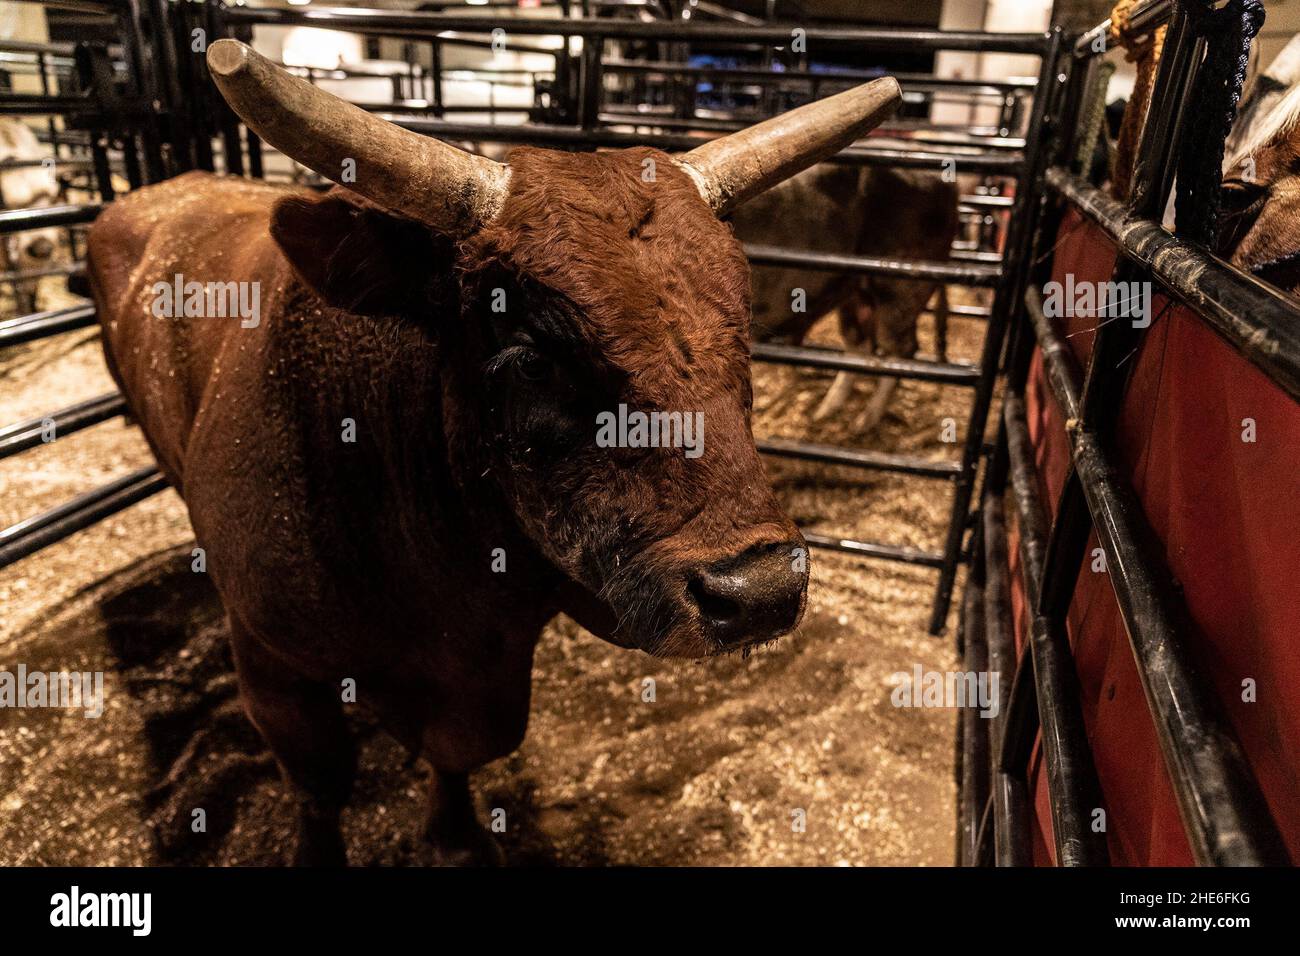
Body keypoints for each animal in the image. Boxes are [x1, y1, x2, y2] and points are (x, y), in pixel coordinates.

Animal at [87, 39, 900, 866]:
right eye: (531, 355)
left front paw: (455, 834)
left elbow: (458, 755)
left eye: (745, 330)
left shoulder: (490, 677)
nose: (760, 590)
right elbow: (320, 788)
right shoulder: (277, 673)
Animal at [732, 162, 958, 432]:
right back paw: (825, 412)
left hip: (904, 287)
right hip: (854, 292)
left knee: (901, 347)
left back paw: (862, 423)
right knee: (859, 343)